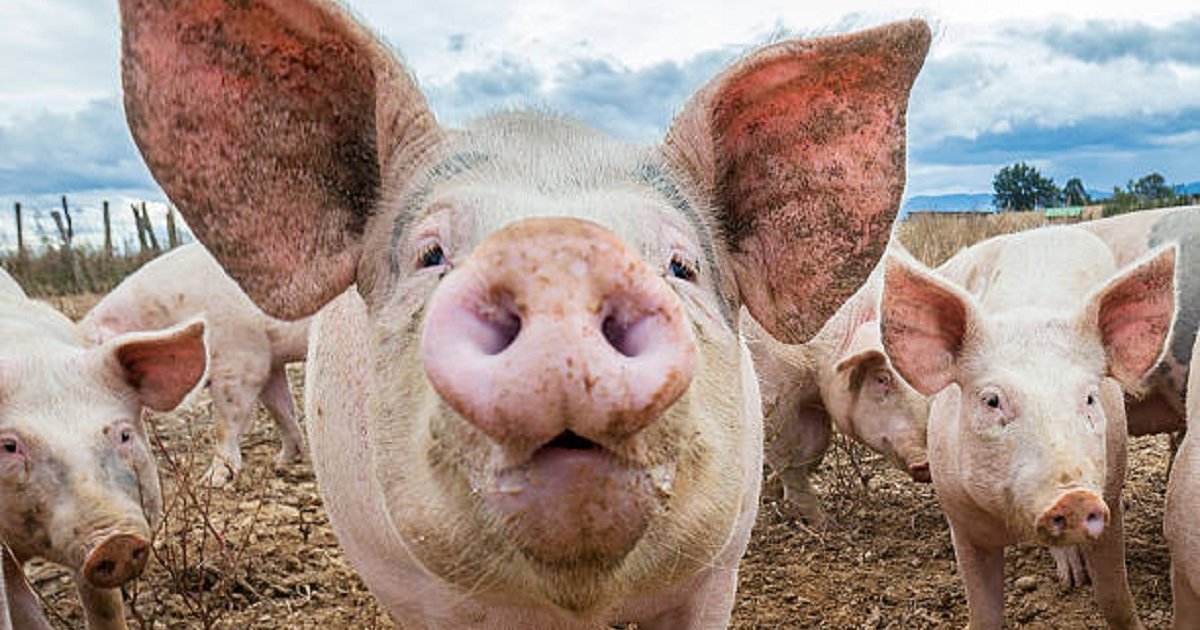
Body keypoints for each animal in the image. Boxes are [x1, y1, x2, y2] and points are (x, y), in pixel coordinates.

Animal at [79, 243, 311, 487]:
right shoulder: (271, 362)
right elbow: (282, 410)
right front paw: (283, 461)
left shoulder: (242, 359)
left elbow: (226, 421)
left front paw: (211, 480)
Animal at [744, 261, 930, 526]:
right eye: (881, 378)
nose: (926, 461)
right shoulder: (773, 393)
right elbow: (788, 453)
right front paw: (823, 524)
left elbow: (816, 448)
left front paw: (772, 490)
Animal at [881, 227, 1176, 629]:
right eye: (992, 401)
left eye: (1089, 398)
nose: (1074, 497)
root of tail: (1046, 229)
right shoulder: (961, 522)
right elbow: (983, 614)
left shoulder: (1110, 496)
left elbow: (1114, 598)